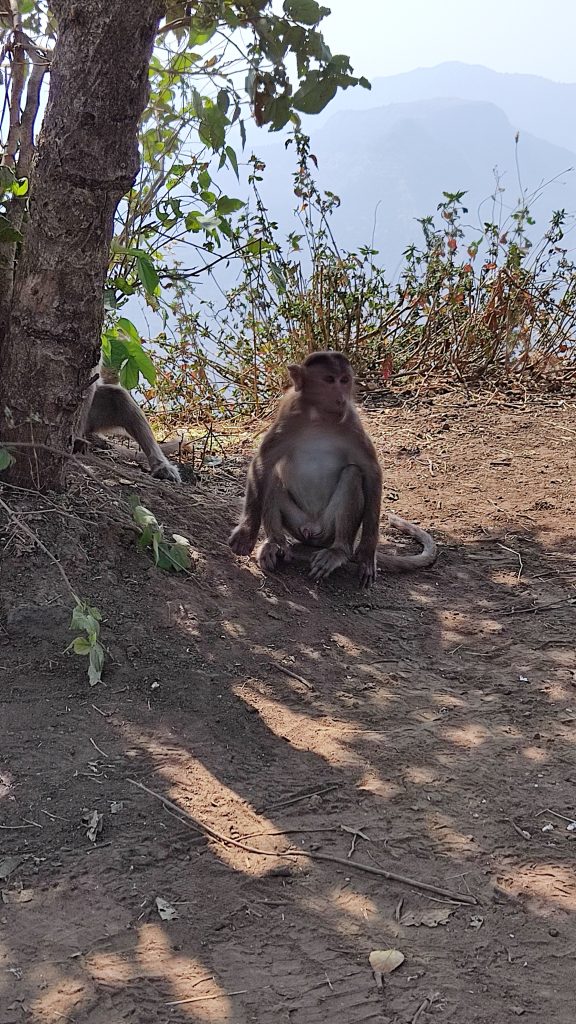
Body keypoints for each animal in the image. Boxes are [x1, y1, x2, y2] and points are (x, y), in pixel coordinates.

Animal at [228, 351, 437, 587]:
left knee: (352, 475)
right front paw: (246, 533)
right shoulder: (288, 415)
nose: (341, 397)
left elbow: (371, 471)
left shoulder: (352, 422)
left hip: (328, 529)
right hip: (297, 522)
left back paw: (339, 551)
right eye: (329, 380)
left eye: (344, 380)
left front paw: (367, 553)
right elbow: (264, 462)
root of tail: (312, 529)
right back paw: (276, 543)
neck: (319, 417)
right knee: (272, 476)